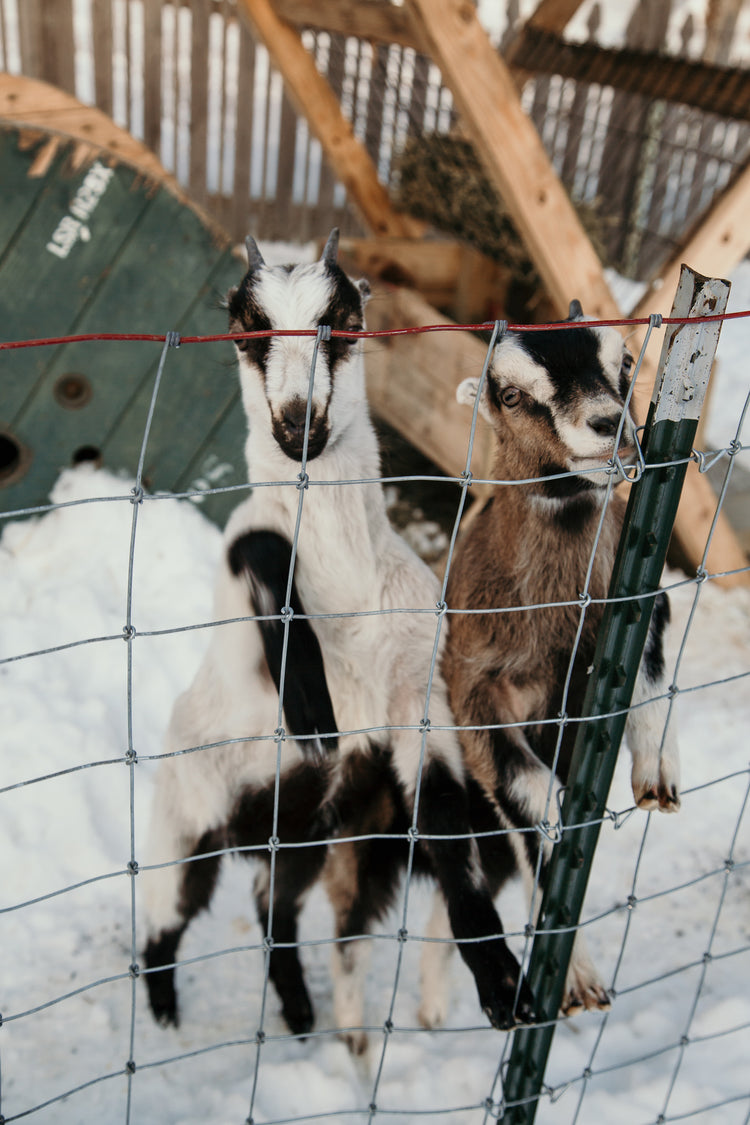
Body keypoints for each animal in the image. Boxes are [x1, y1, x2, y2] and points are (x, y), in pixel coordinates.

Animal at [142, 231, 536, 1052]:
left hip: (298, 837)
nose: (299, 427)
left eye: (346, 322)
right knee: (163, 924)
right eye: (245, 327)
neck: (352, 594)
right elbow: (256, 545)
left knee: (273, 909)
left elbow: (453, 844)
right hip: (184, 827)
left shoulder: (418, 703)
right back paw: (164, 1016)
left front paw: (502, 986)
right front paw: (313, 709)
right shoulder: (241, 633)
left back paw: (295, 1011)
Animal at [418, 305, 680, 1029]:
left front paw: (656, 774)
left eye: (625, 362)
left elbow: (648, 669)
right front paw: (579, 982)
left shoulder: (641, 598)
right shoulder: (477, 693)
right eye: (510, 394)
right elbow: (534, 798)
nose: (608, 424)